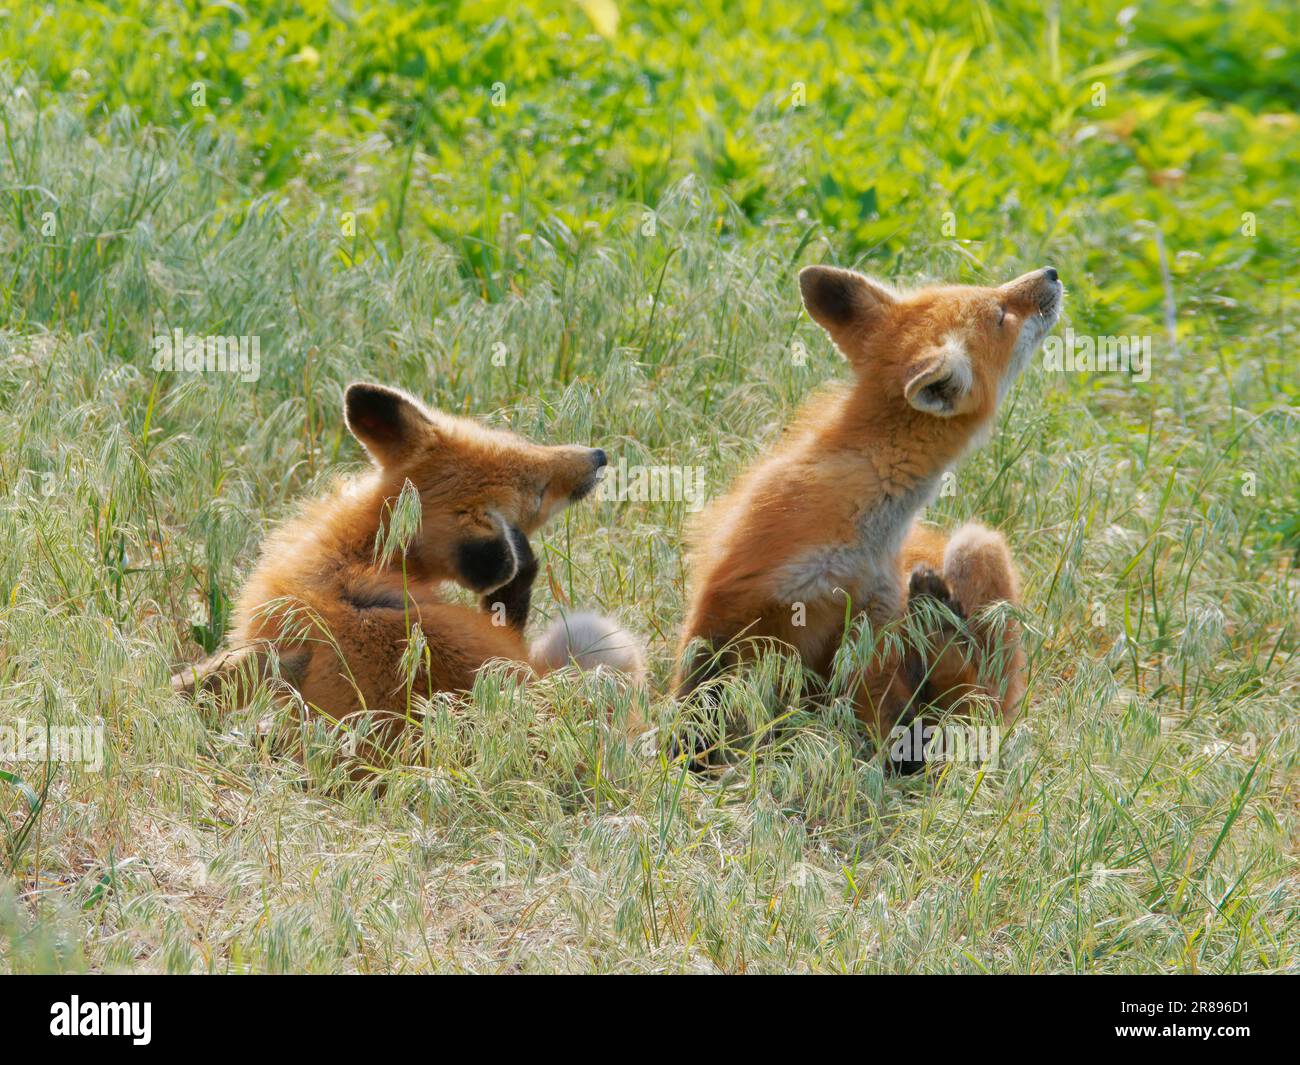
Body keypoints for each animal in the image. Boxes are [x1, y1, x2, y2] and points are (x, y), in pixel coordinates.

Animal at [674, 265, 1063, 762]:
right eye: (1000, 314)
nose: (1051, 272)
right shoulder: (733, 593)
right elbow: (699, 693)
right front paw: (688, 756)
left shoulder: (873, 618)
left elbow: (876, 714)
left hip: (977, 544)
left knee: (979, 706)